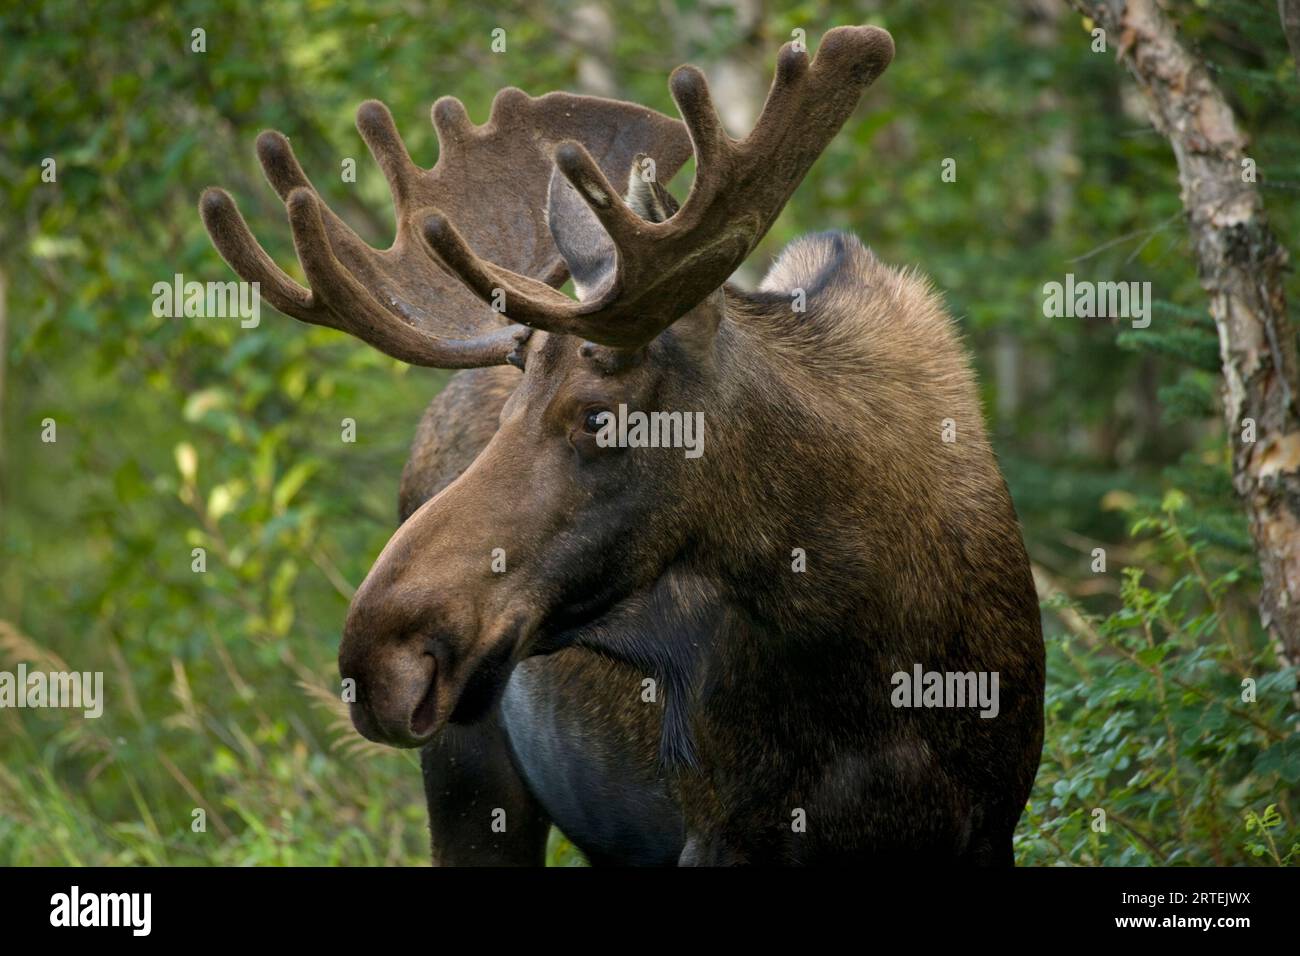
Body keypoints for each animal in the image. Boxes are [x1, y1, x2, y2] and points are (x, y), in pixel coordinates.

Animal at [199, 24, 1046, 866]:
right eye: (510, 416)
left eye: (599, 418)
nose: (379, 660)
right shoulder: (720, 832)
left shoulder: (991, 821)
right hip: (470, 782)